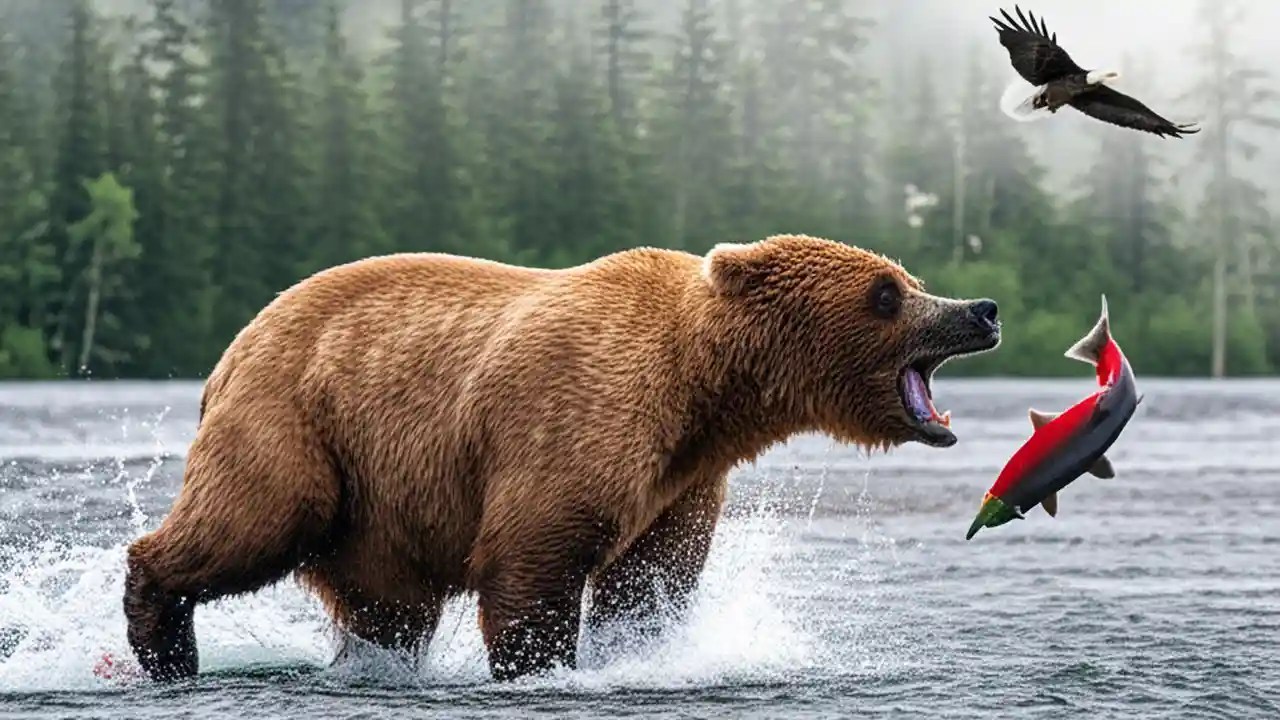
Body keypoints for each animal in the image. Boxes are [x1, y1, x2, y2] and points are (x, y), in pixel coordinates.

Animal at [122, 233, 1001, 682]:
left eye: (910, 277)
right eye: (886, 292)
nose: (980, 310)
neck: (703, 392)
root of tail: (233, 348)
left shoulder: (682, 480)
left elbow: (652, 577)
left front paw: (636, 650)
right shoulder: (577, 416)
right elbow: (533, 557)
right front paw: (539, 664)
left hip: (381, 503)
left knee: (389, 608)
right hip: (299, 425)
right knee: (249, 519)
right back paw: (166, 645)